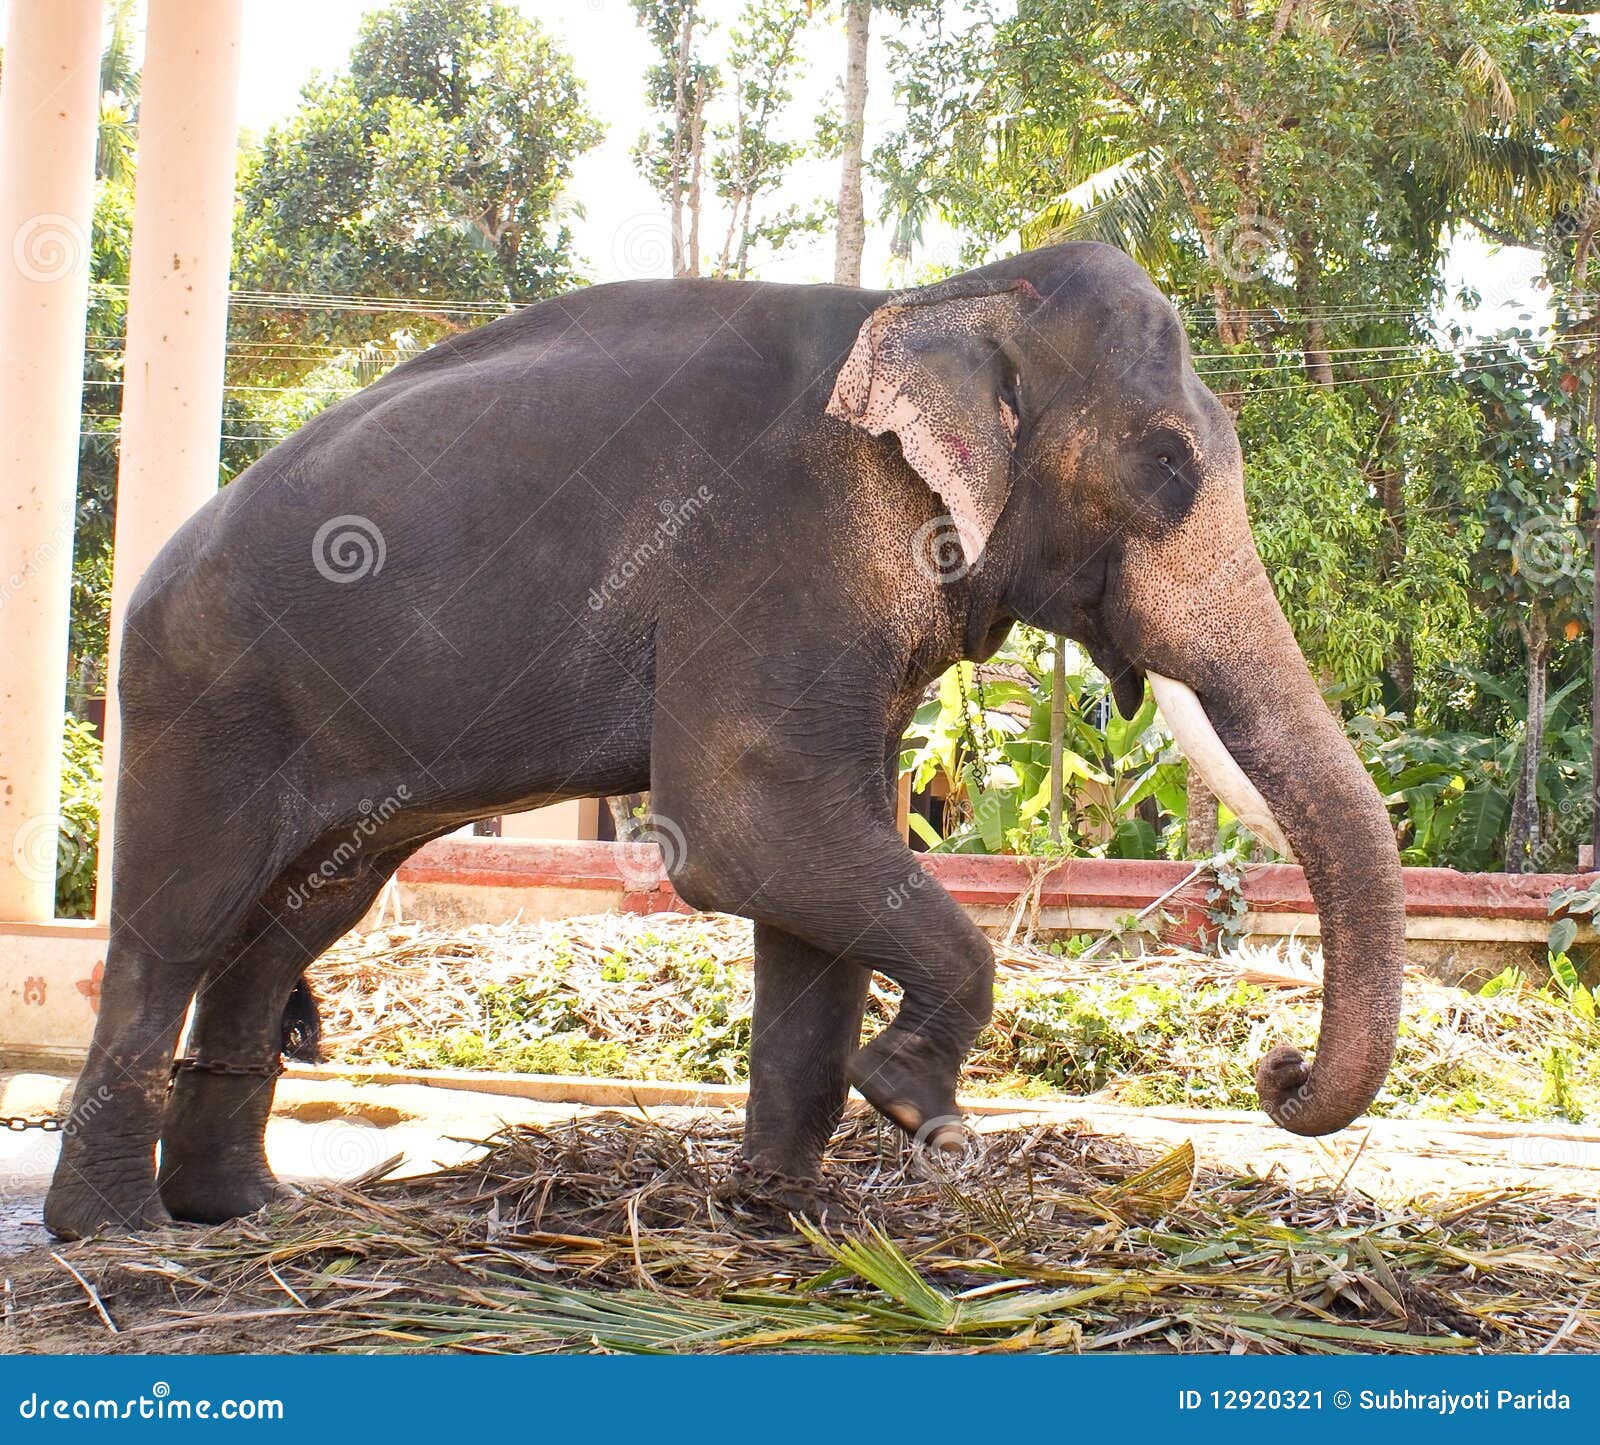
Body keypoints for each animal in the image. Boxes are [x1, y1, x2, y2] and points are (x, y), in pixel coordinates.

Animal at [44, 242, 1403, 1239]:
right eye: (1168, 466)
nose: (1275, 1068)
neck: (939, 292)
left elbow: (815, 867)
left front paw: (781, 1211)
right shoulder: (772, 545)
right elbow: (747, 827)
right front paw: (911, 1103)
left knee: (292, 923)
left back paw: (242, 1209)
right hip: (200, 699)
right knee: (177, 925)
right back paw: (118, 1233)